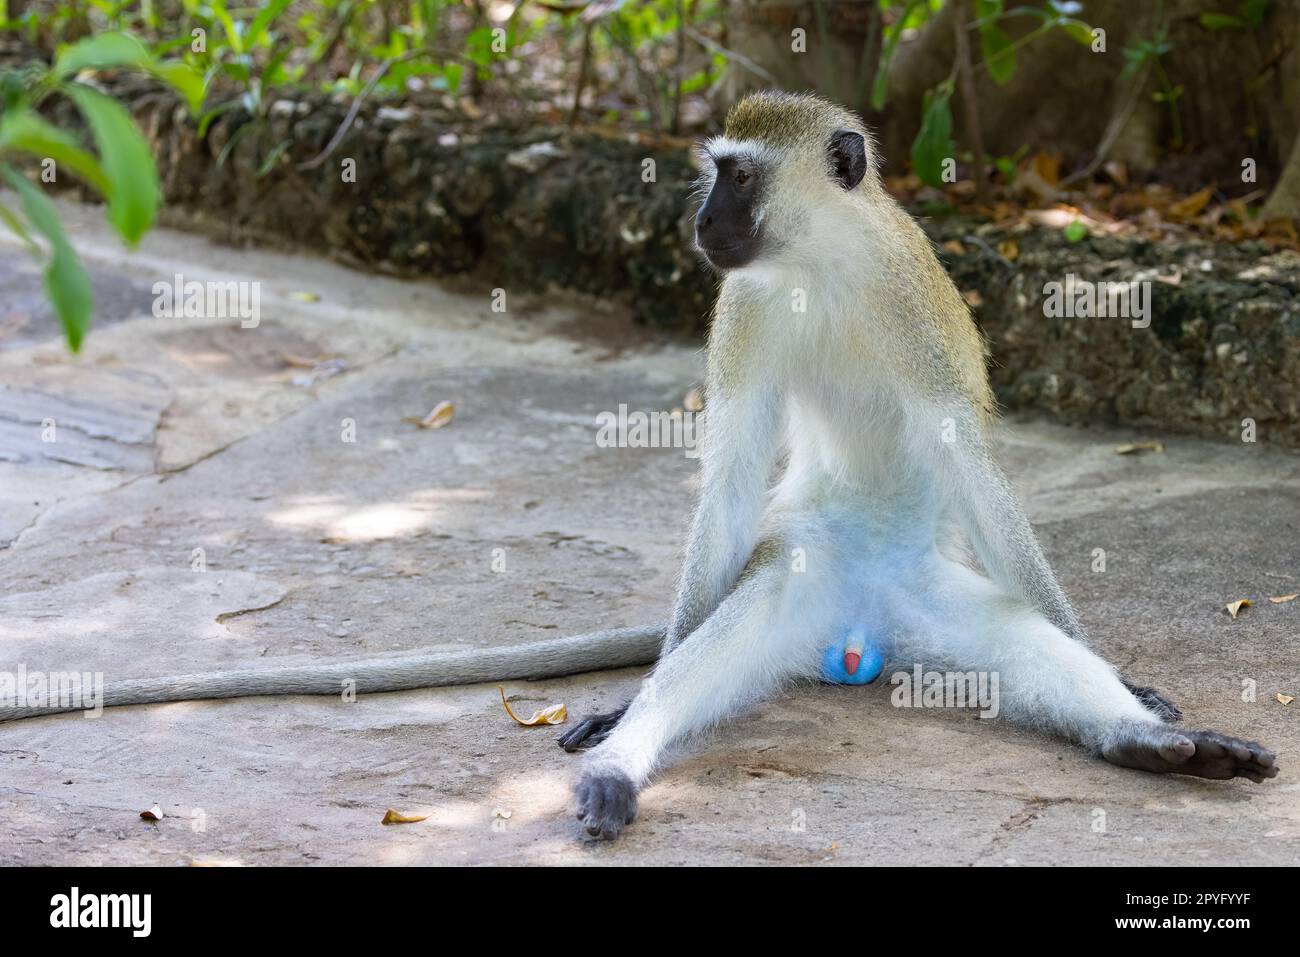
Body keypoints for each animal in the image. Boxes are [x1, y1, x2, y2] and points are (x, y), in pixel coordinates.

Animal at [3, 93, 1276, 843]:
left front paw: (1144, 693)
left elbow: (968, 456)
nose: (701, 222)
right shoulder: (742, 305)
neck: (820, 261)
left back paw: (1152, 744)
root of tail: (862, 628)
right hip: (796, 575)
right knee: (716, 642)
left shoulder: (907, 300)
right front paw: (626, 705)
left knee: (1020, 640)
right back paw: (624, 756)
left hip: (930, 601)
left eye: (737, 175)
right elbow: (727, 471)